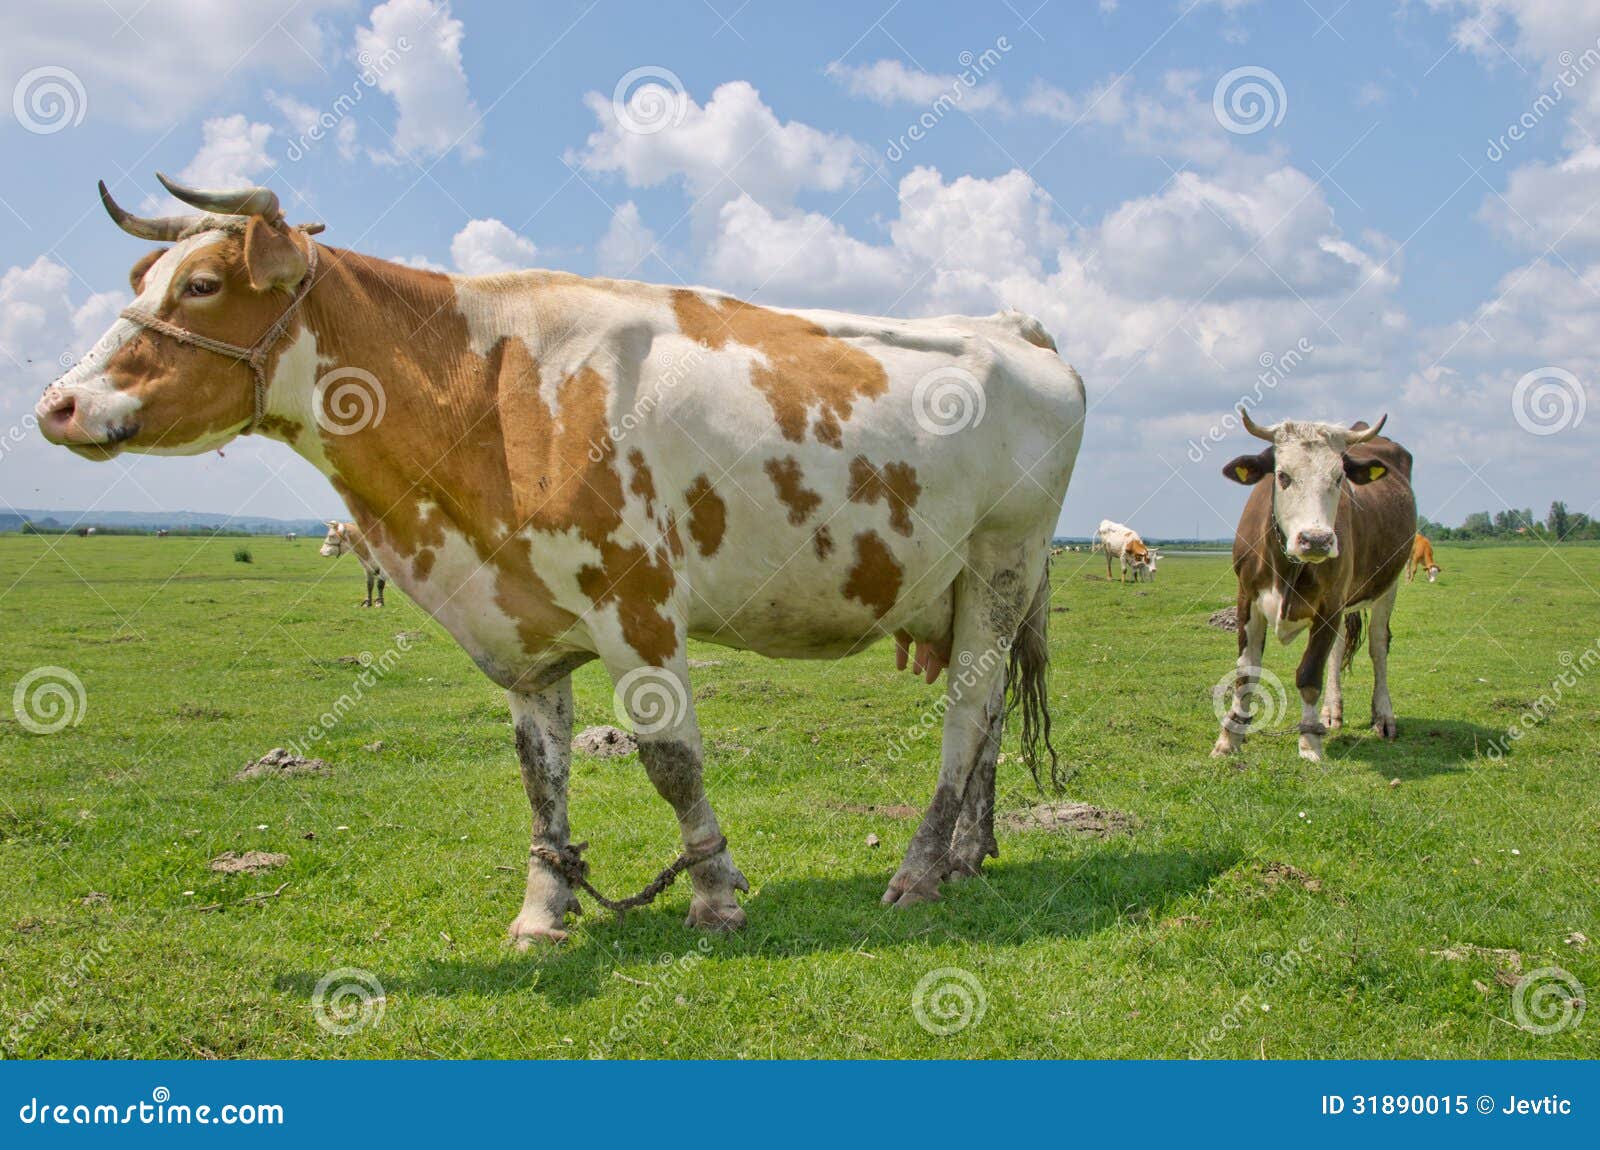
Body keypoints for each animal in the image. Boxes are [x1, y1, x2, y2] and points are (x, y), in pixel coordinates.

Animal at [37, 176, 1087, 944]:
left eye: (202, 285)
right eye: (144, 280)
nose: (58, 404)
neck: (486, 394)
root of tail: (1011, 326)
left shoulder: (640, 606)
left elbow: (672, 763)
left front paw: (715, 895)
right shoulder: (525, 631)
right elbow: (542, 778)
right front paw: (545, 911)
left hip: (1003, 559)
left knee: (965, 719)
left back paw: (919, 870)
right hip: (966, 588)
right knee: (993, 711)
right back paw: (967, 854)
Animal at [1212, 408, 1416, 763]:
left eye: (1339, 478)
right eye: (1282, 476)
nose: (1317, 539)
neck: (1287, 566)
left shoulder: (1329, 605)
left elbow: (1309, 675)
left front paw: (1309, 743)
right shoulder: (1246, 597)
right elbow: (1246, 672)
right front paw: (1229, 738)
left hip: (1387, 585)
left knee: (1378, 646)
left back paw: (1383, 717)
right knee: (1338, 649)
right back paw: (1331, 712)